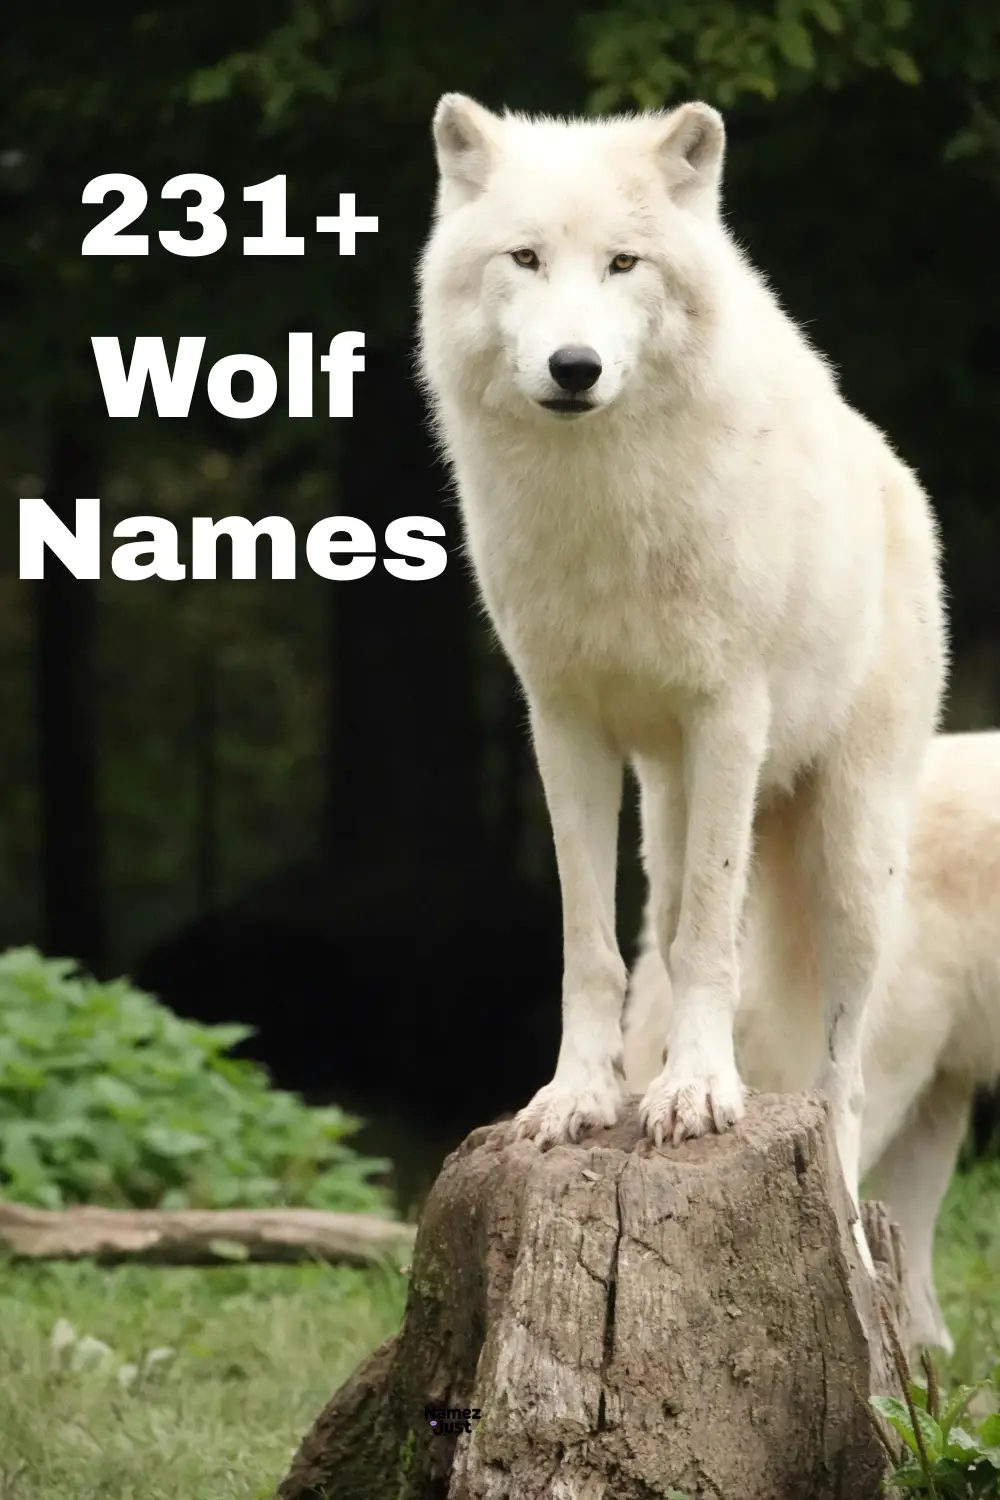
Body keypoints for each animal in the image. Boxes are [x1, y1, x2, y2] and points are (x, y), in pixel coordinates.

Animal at [416, 93, 947, 1260]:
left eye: (625, 263)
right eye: (526, 257)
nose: (573, 367)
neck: (602, 501)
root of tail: (896, 472)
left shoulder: (728, 718)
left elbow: (713, 939)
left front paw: (700, 1095)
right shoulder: (561, 722)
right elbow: (588, 944)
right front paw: (579, 1098)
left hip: (850, 861)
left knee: (841, 1071)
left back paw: (844, 1217)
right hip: (664, 813)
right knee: (657, 944)